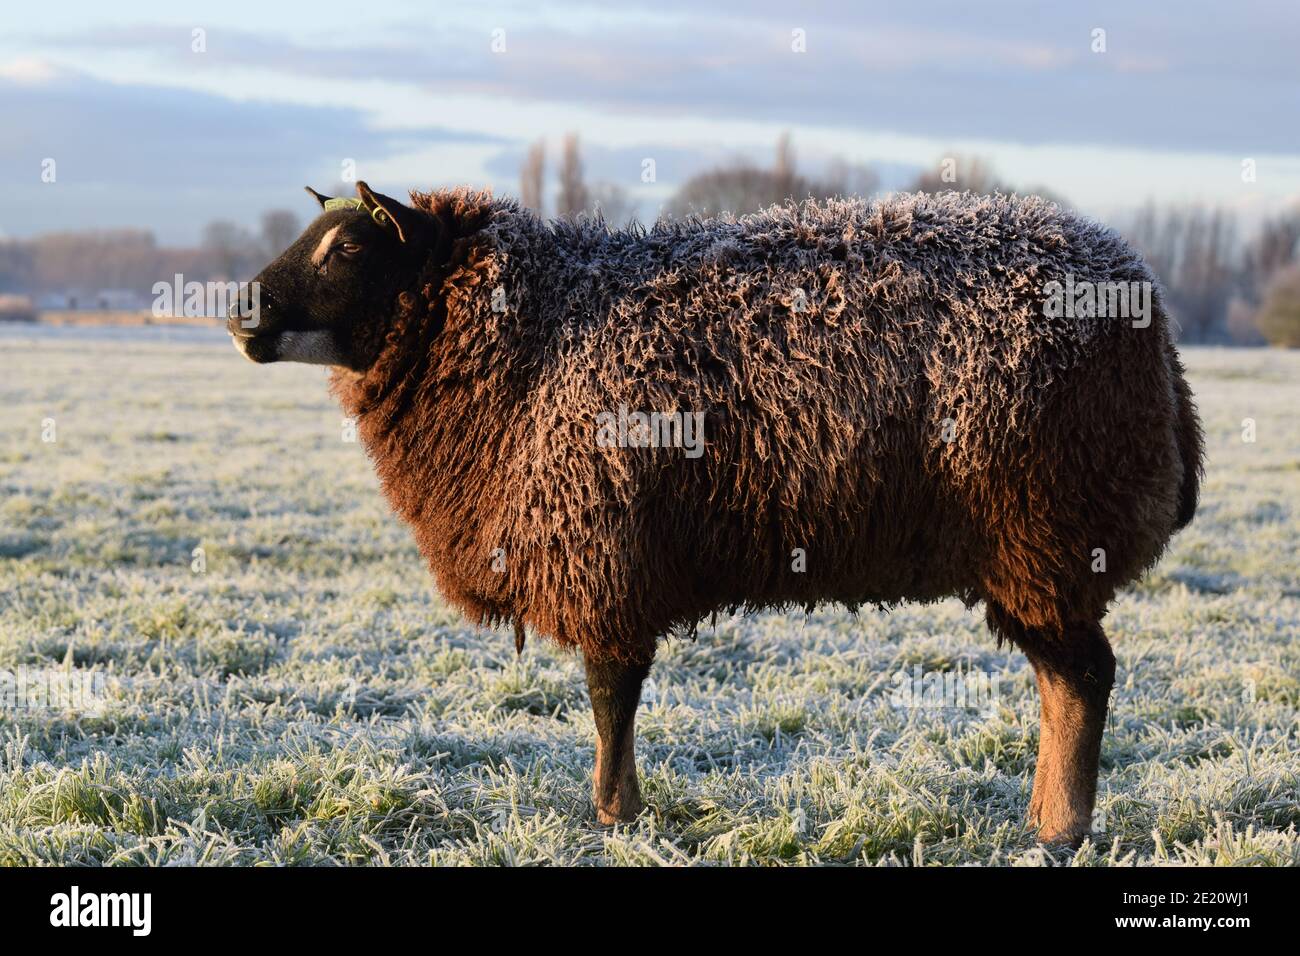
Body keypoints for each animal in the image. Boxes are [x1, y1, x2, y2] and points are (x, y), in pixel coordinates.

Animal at [229, 181, 1203, 846]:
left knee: (1084, 679)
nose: (242, 313)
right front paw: (618, 811)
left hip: (1047, 531)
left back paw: (1061, 830)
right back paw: (1043, 817)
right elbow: (613, 698)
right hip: (1037, 550)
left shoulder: (607, 550)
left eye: (348, 249)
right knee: (1063, 681)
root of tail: (1154, 321)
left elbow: (609, 697)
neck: (528, 334)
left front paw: (613, 815)